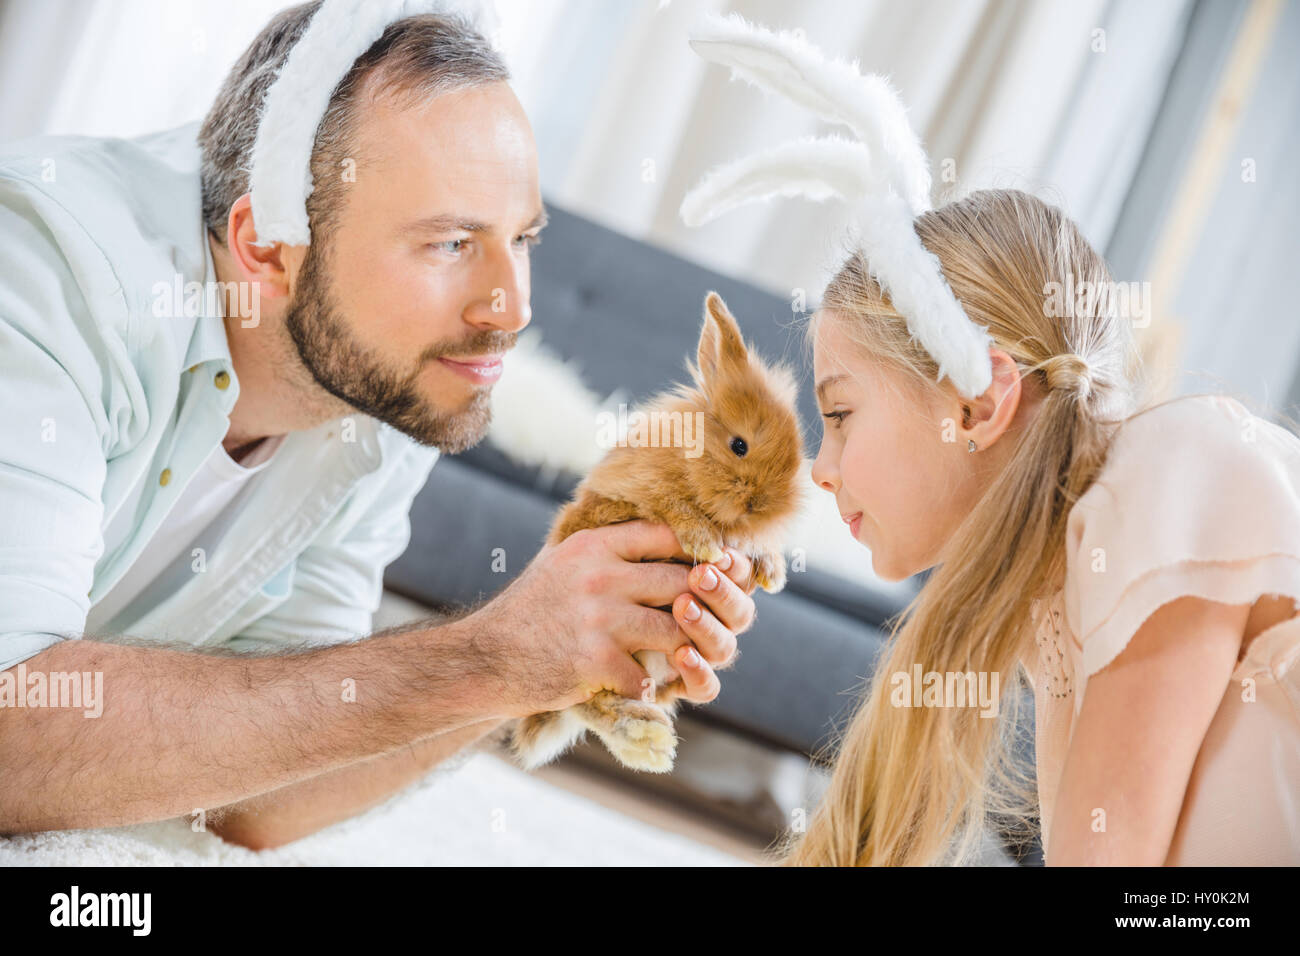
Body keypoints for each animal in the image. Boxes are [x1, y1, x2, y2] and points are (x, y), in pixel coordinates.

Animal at [511, 291, 806, 773]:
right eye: (739, 445)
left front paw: (771, 570)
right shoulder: (640, 489)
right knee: (589, 702)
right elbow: (673, 506)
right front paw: (706, 544)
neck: (690, 458)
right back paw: (647, 742)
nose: (762, 506)